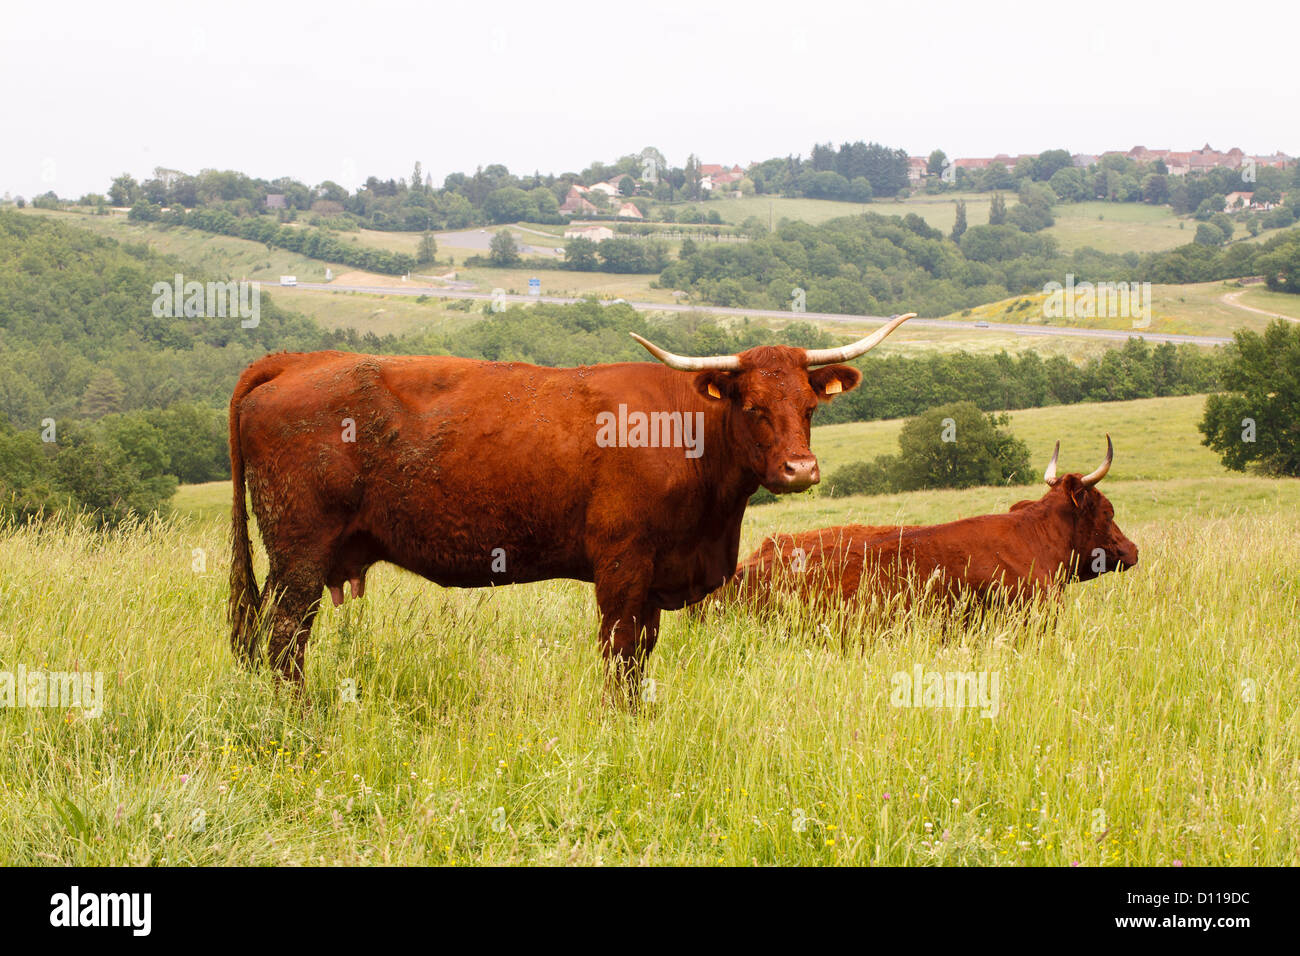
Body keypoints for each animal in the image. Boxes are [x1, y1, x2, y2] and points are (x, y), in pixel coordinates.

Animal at [227, 314, 915, 700]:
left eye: (810, 404)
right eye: (752, 406)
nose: (801, 470)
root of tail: (295, 360)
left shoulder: (655, 581)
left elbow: (640, 660)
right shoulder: (621, 566)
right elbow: (618, 656)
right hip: (299, 558)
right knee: (282, 641)